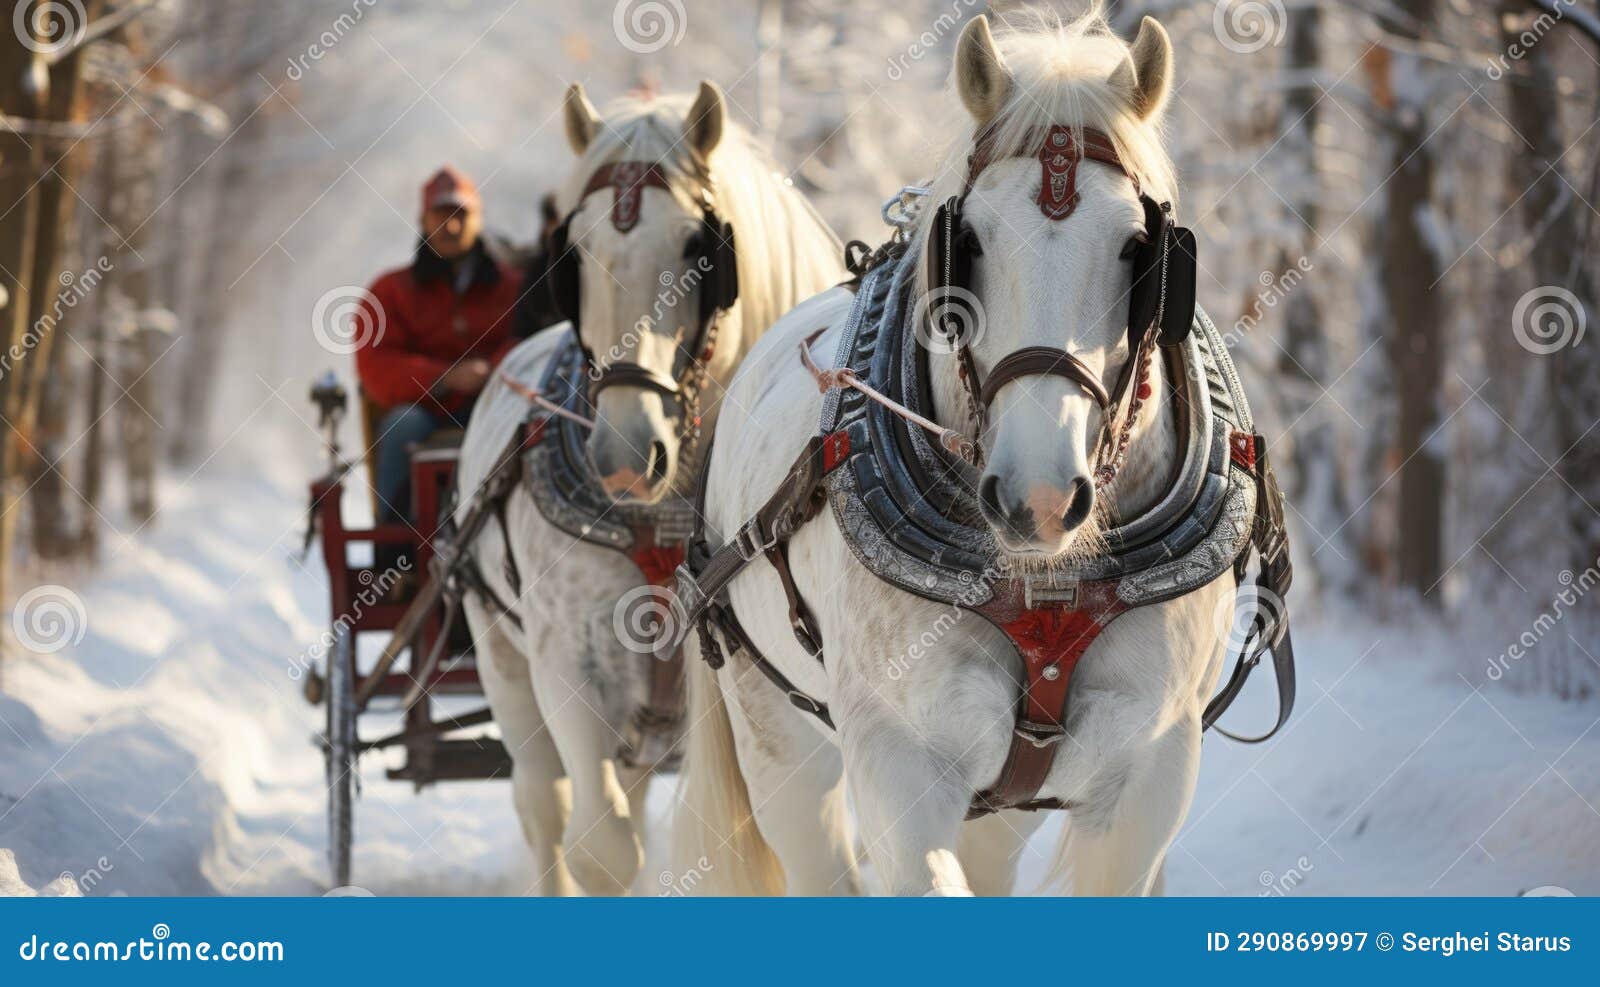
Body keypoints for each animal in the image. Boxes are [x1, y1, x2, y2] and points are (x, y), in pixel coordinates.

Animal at [454, 82, 846, 896]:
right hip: (503, 657)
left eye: (700, 250)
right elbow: (602, 849)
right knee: (544, 804)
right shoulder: (570, 666)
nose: (625, 457)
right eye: (575, 253)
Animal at [675, 10, 1283, 896]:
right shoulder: (897, 761)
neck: (1048, 581)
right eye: (970, 240)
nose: (1039, 499)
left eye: (1140, 247)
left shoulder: (1152, 774)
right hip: (776, 733)